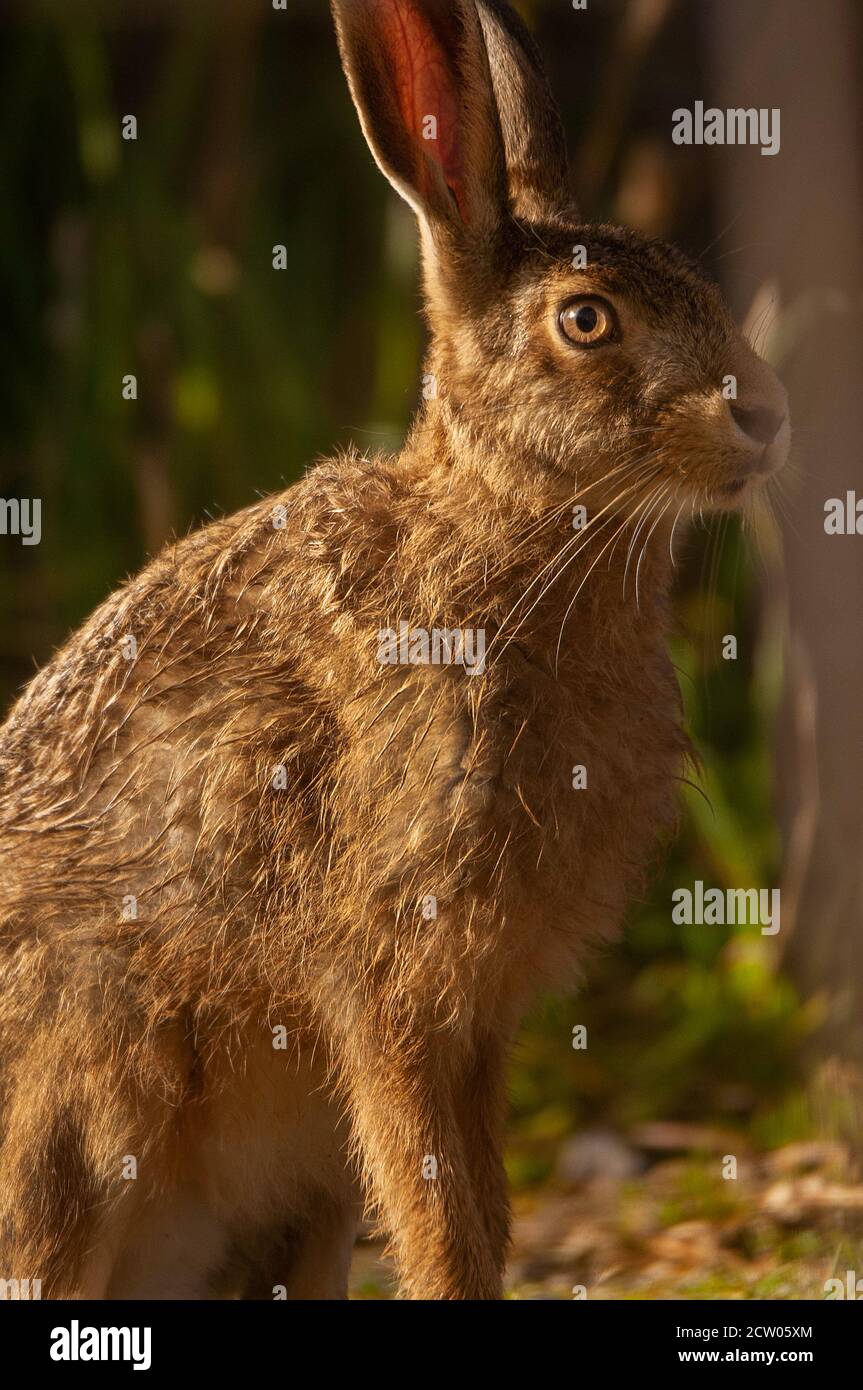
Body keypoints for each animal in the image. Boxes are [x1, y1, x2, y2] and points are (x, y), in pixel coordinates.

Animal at [0, 0, 789, 1302]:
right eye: (586, 320)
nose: (763, 415)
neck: (503, 536)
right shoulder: (394, 981)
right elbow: (437, 1205)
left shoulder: (474, 1015)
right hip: (84, 1091)